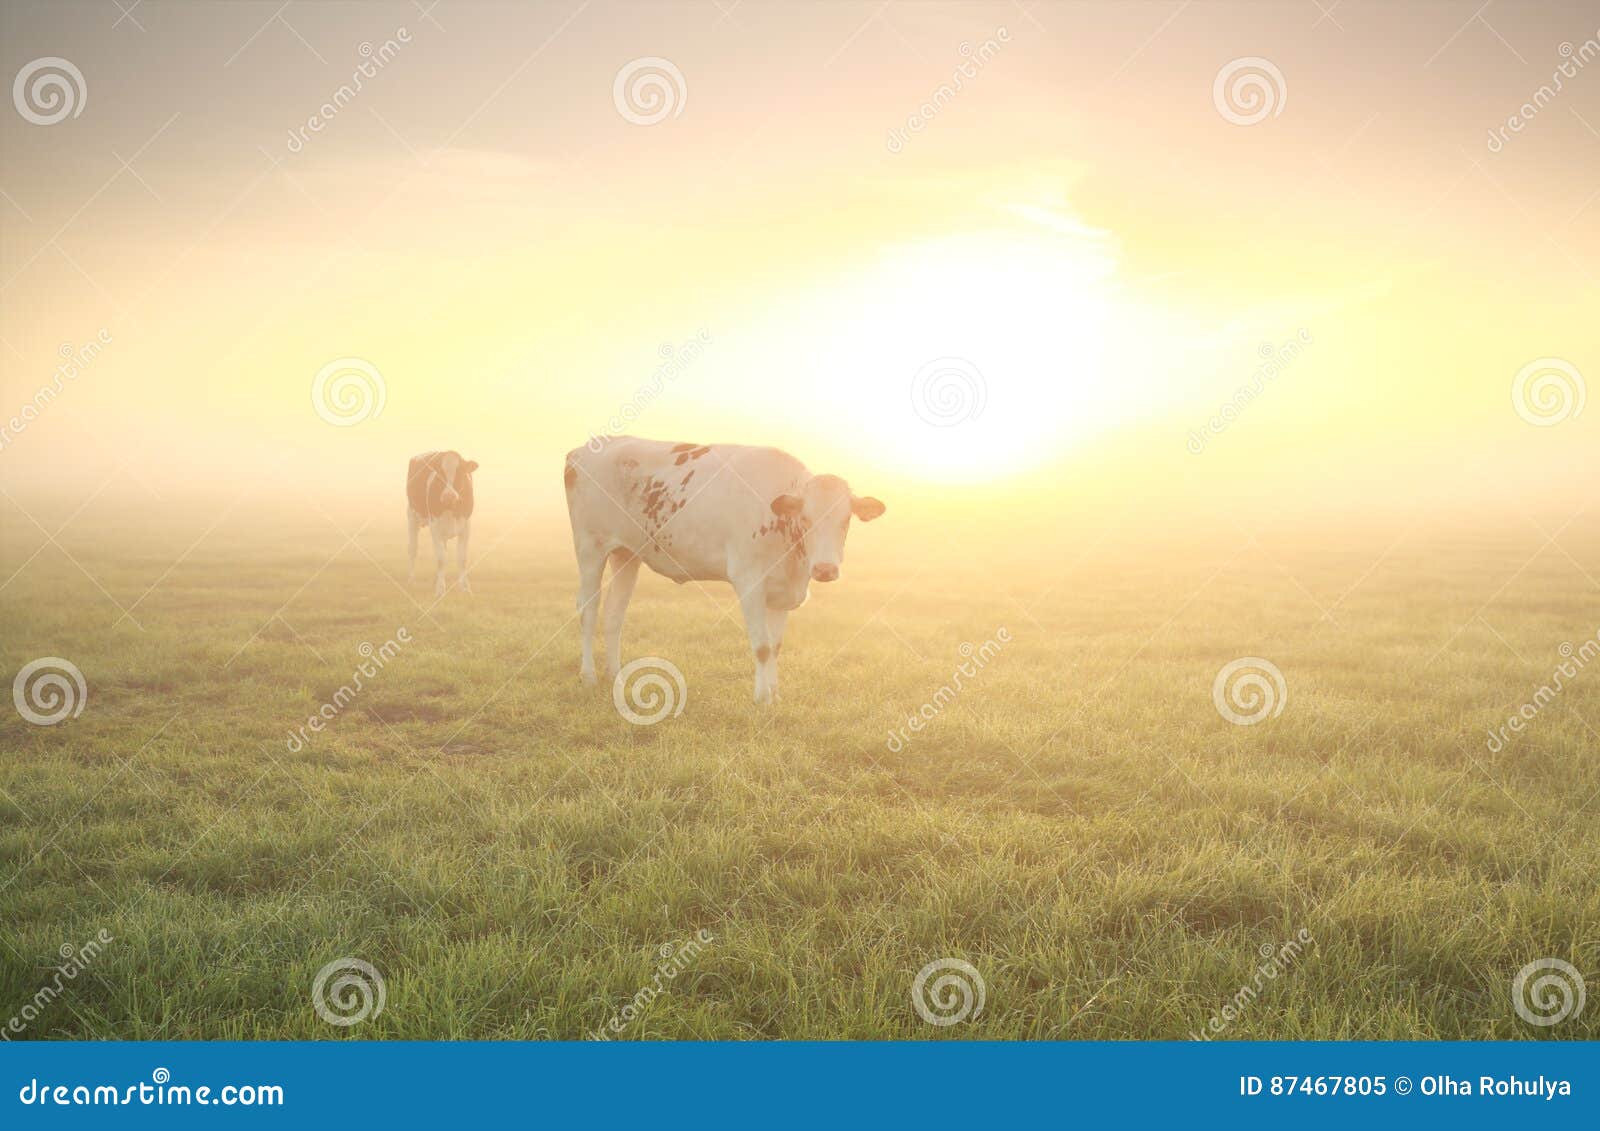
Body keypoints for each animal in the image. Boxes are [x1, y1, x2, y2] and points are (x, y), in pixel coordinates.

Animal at [406, 450, 478, 596]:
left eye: (460, 471)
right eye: (439, 474)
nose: (448, 496)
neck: (451, 508)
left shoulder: (466, 526)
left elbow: (462, 558)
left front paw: (465, 588)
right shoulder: (435, 527)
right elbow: (441, 558)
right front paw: (440, 589)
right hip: (411, 515)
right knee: (413, 549)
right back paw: (411, 580)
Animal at [564, 437, 885, 703]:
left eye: (846, 520)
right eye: (805, 518)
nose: (825, 569)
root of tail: (585, 448)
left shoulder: (782, 590)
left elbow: (776, 646)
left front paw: (775, 694)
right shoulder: (749, 582)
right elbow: (762, 646)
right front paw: (762, 699)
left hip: (626, 554)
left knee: (614, 614)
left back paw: (615, 675)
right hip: (590, 549)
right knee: (588, 611)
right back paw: (589, 676)